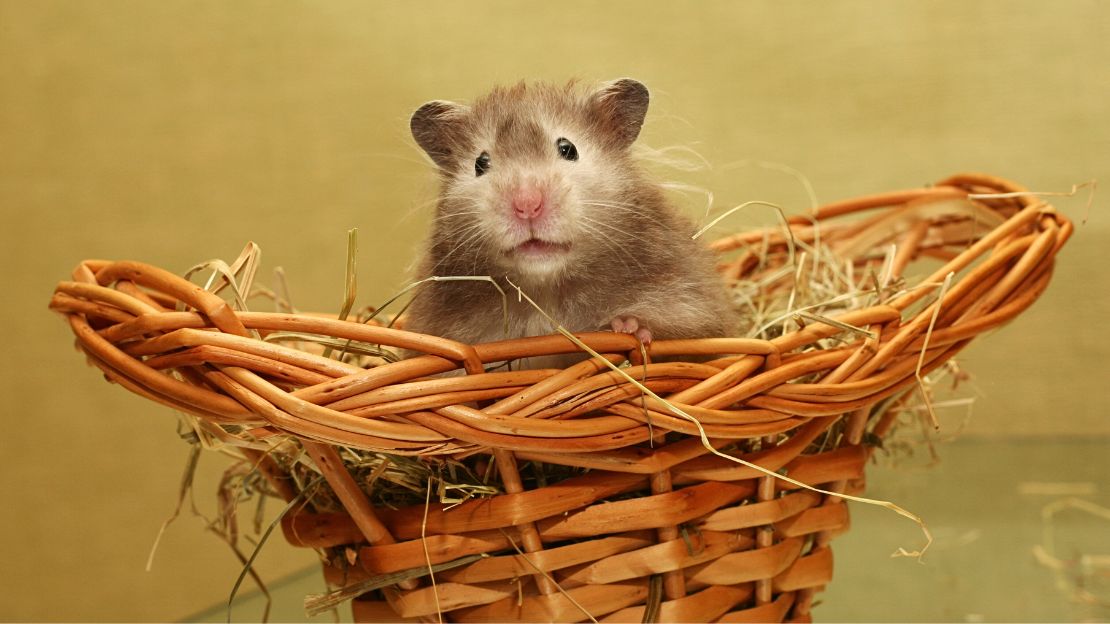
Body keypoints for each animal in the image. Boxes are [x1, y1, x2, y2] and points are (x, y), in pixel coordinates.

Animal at [403, 78, 734, 356]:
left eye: (568, 149)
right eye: (480, 163)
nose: (527, 205)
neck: (546, 292)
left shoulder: (696, 310)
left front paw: (628, 327)